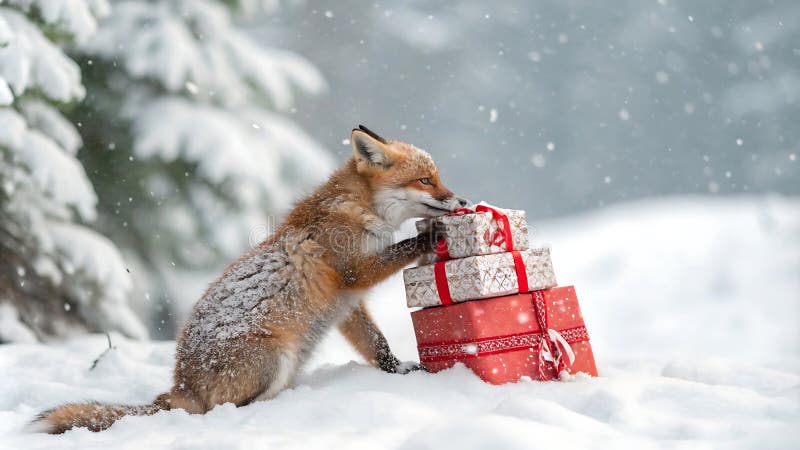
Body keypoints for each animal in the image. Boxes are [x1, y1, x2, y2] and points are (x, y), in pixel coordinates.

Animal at [29, 125, 466, 434]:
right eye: (426, 180)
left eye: (437, 177)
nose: (461, 200)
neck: (354, 210)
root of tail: (181, 385)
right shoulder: (354, 271)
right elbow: (398, 251)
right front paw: (427, 238)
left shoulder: (347, 304)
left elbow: (377, 345)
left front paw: (400, 371)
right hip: (274, 360)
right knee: (225, 410)